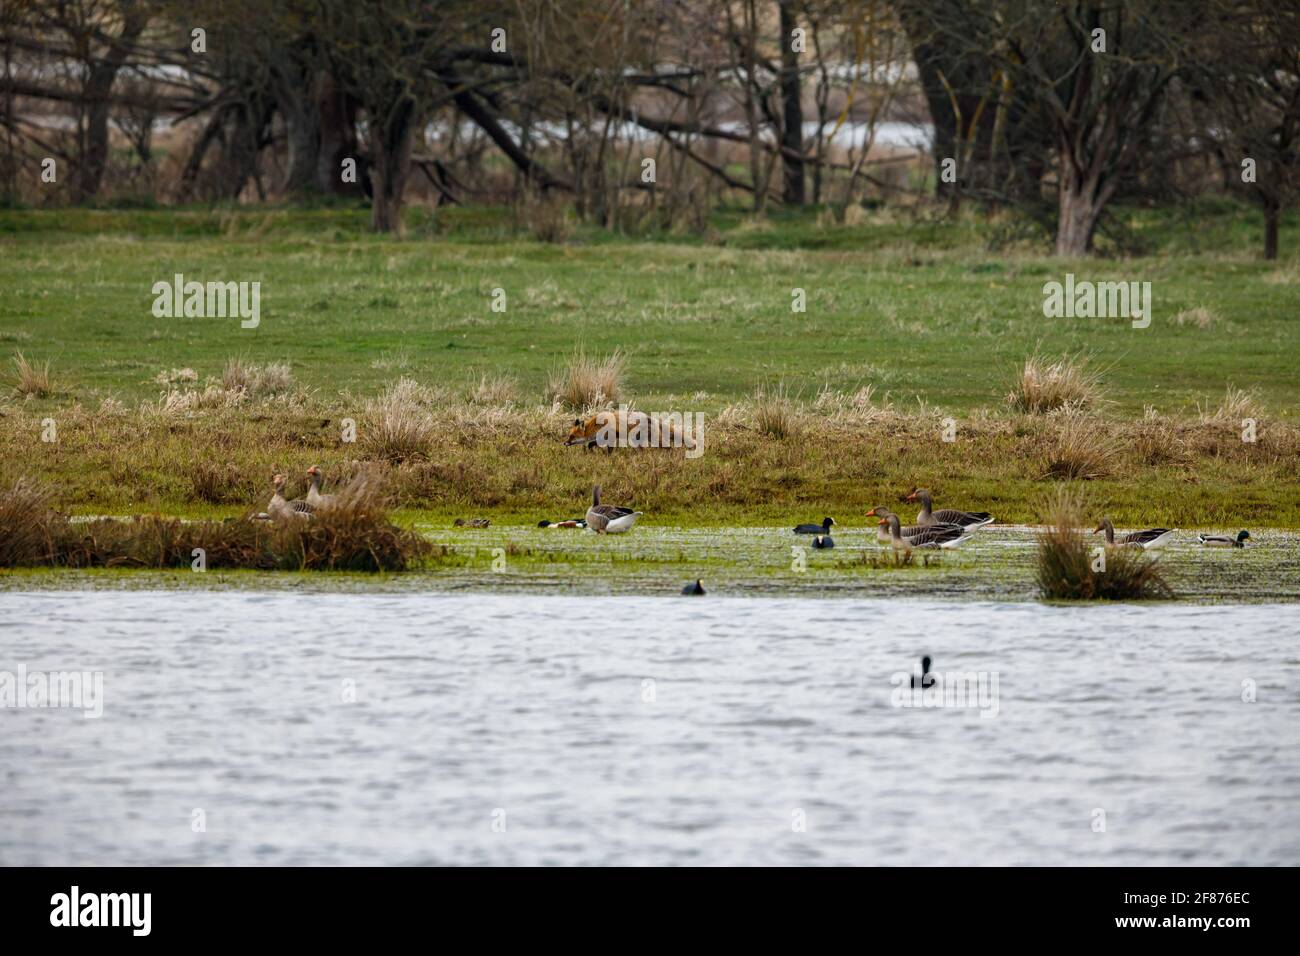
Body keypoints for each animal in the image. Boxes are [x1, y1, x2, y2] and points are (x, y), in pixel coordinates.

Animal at [564, 410, 696, 452]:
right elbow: (591, 444)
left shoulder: (610, 437)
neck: (594, 426)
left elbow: (608, 450)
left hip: (651, 439)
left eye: (572, 436)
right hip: (637, 440)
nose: (564, 443)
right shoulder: (602, 438)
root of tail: (648, 416)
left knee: (668, 447)